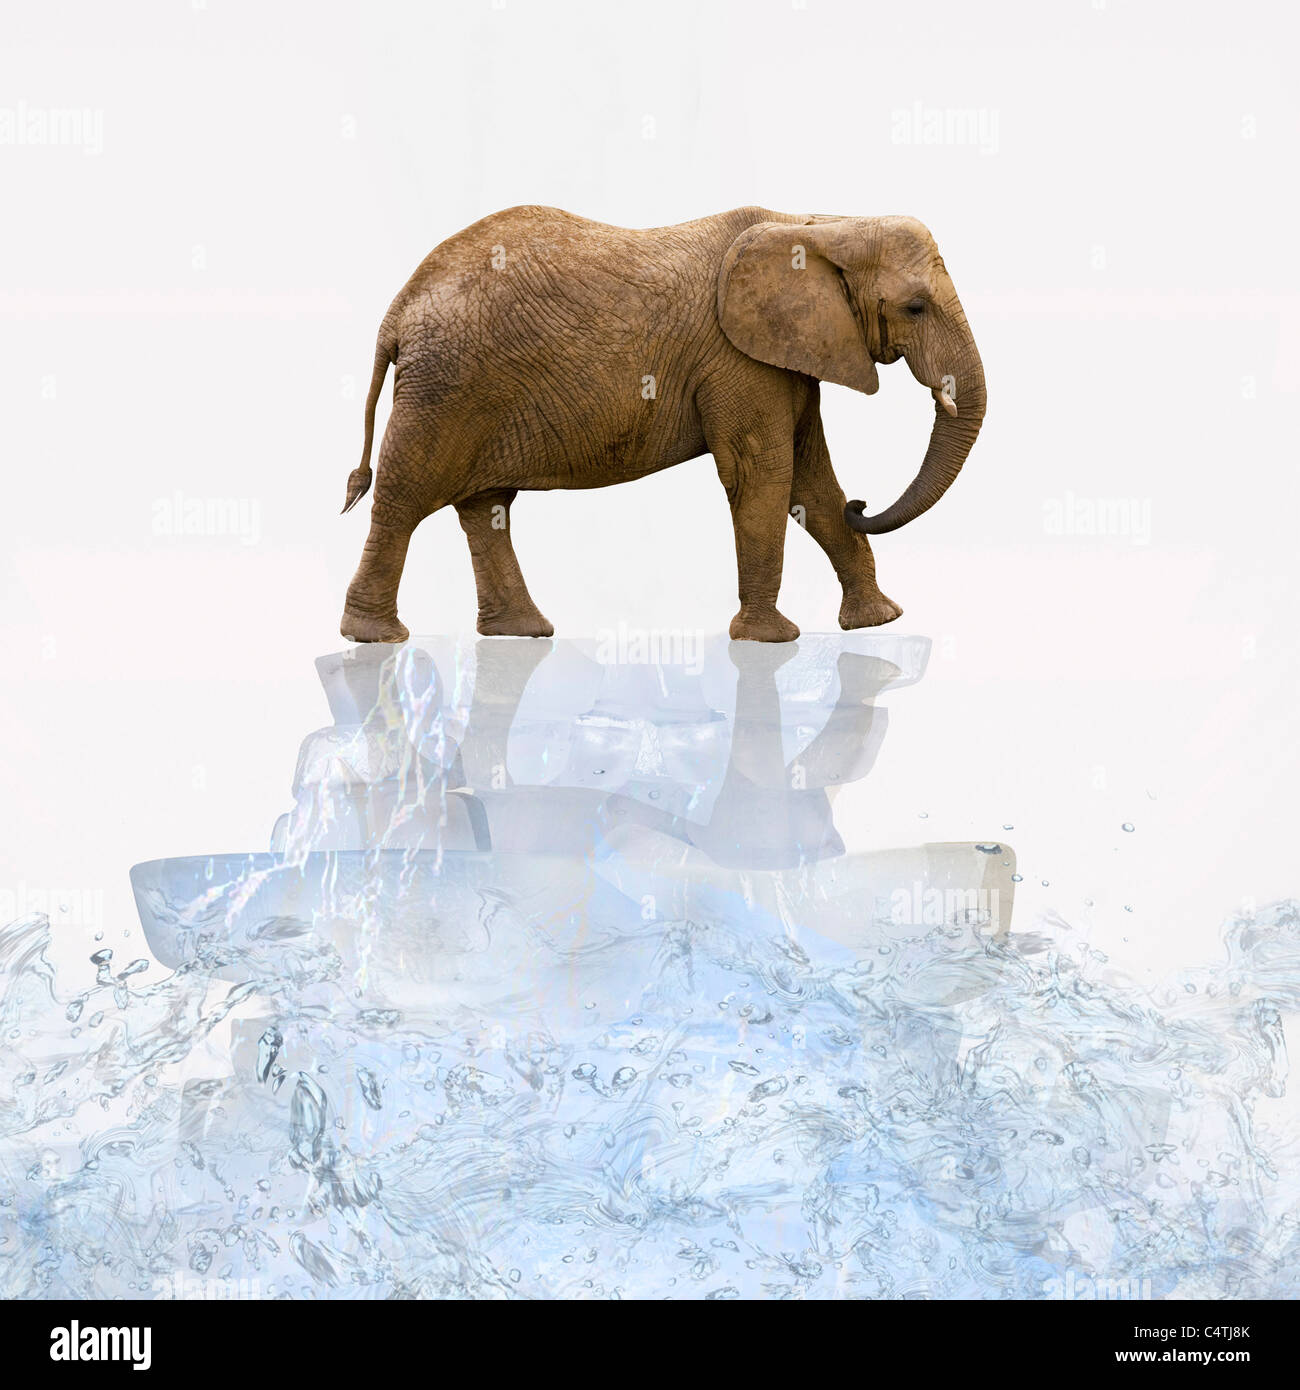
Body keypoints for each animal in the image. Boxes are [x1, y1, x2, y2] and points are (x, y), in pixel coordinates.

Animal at [339, 205, 986, 644]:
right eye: (916, 308)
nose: (865, 503)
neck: (819, 223)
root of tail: (397, 310)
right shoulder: (737, 359)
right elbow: (763, 475)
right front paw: (770, 640)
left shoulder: (790, 356)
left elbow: (811, 483)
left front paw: (878, 622)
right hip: (442, 389)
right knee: (403, 499)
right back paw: (374, 639)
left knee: (485, 507)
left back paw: (522, 633)